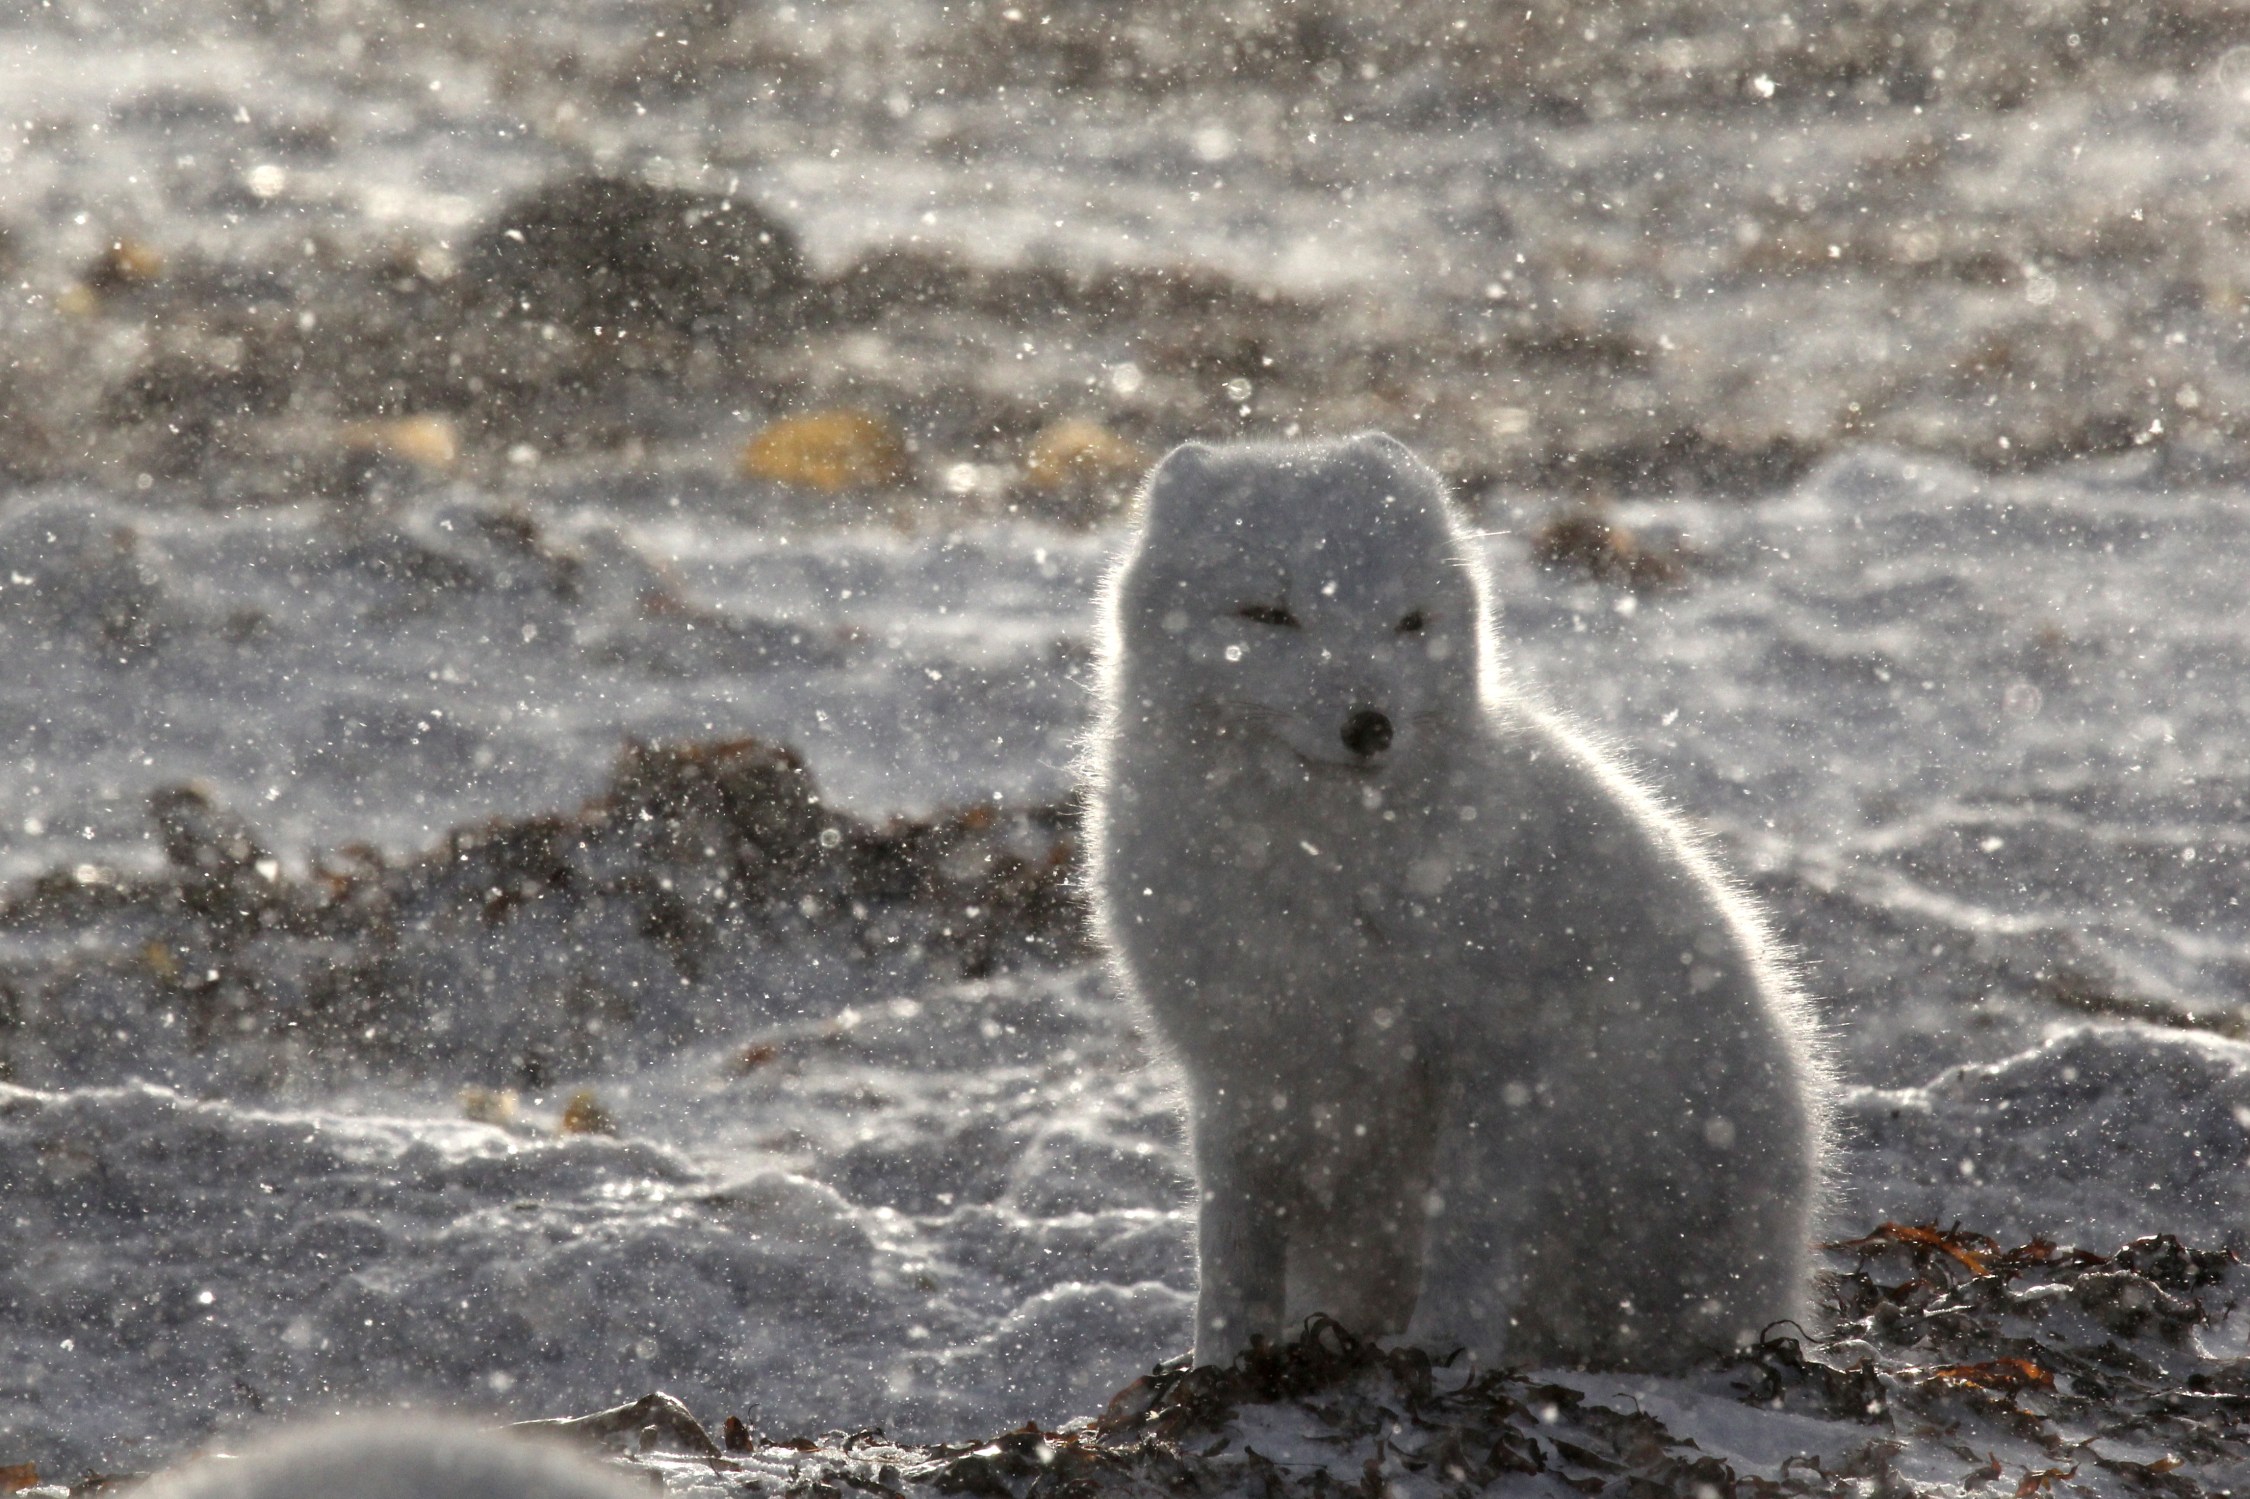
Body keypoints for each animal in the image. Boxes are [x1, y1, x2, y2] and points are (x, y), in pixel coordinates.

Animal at [1086, 433, 1832, 1371]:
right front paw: (1220, 1363)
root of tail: (1784, 1289)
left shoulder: (1496, 1055)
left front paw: (1443, 1349)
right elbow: (1231, 1242)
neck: (1315, 860)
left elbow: (1468, 1230)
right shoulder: (1237, 1074)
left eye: (1410, 623)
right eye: (1268, 615)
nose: (1372, 725)